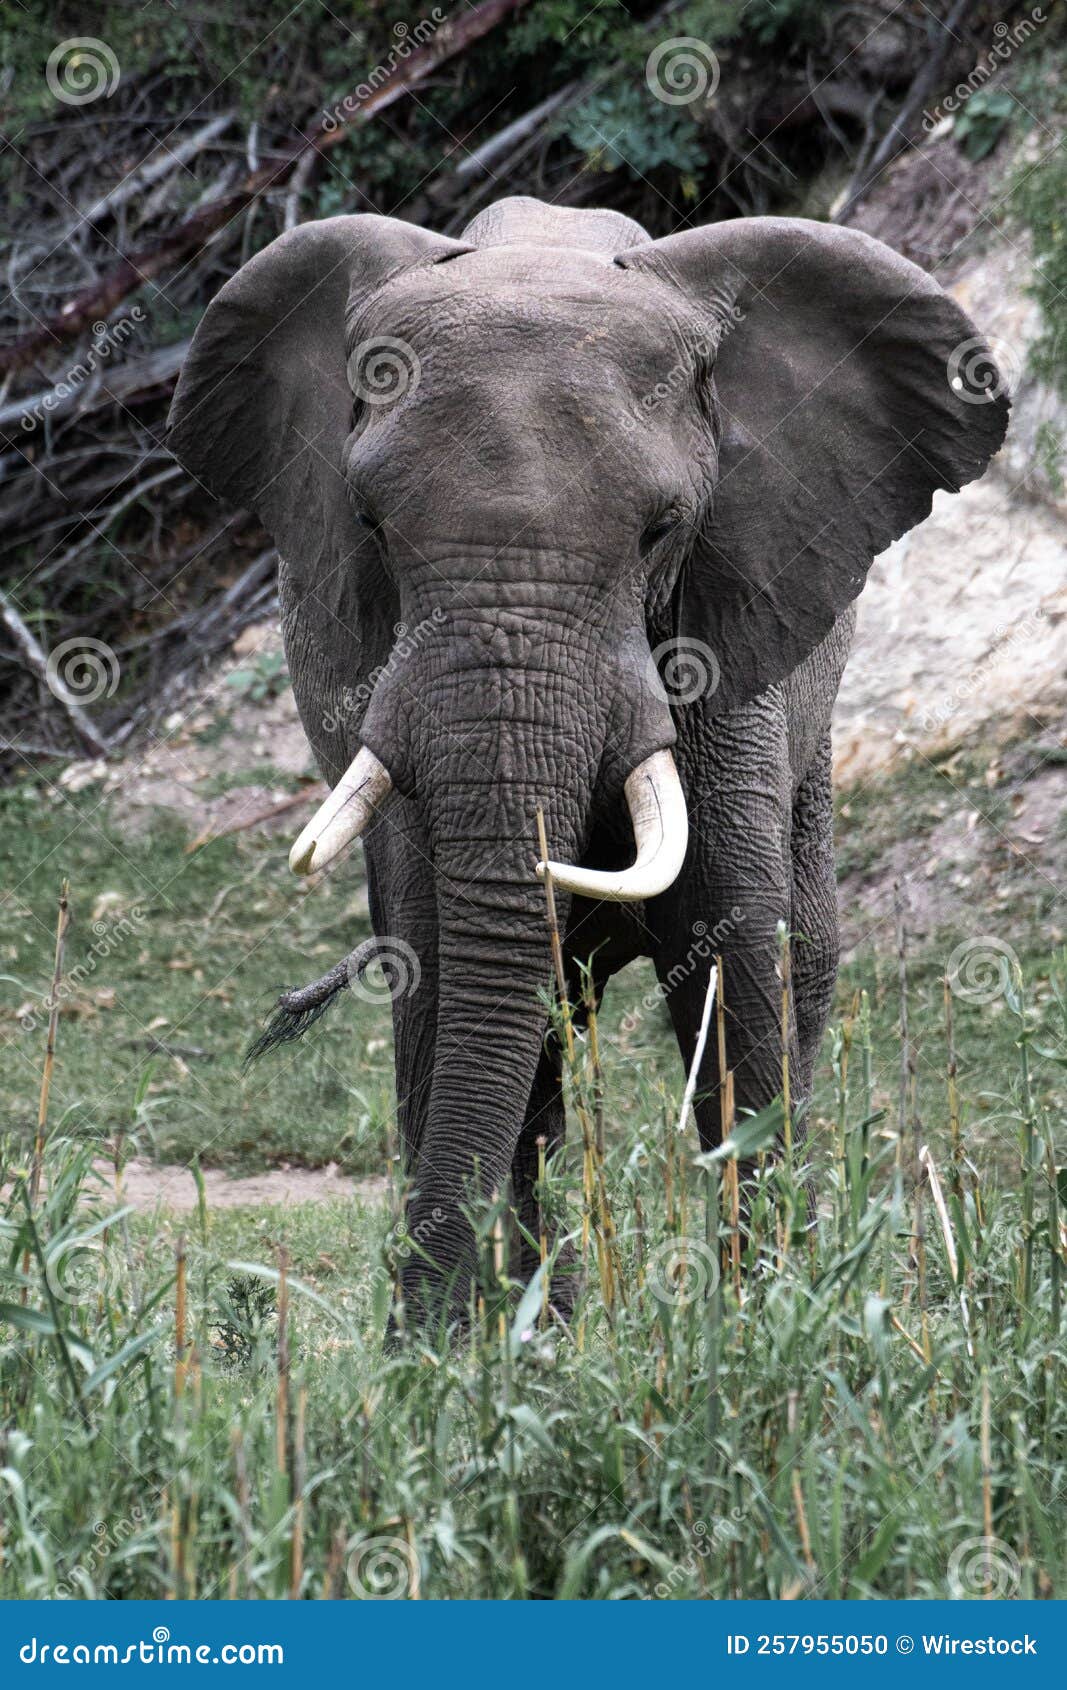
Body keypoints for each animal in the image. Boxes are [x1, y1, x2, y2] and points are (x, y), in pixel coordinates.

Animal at [167, 195, 1008, 1324]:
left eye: (661, 530)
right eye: (371, 527)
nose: (404, 1329)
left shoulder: (723, 637)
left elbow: (730, 955)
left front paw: (765, 1319)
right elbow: (441, 964)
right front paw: (477, 1344)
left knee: (805, 955)